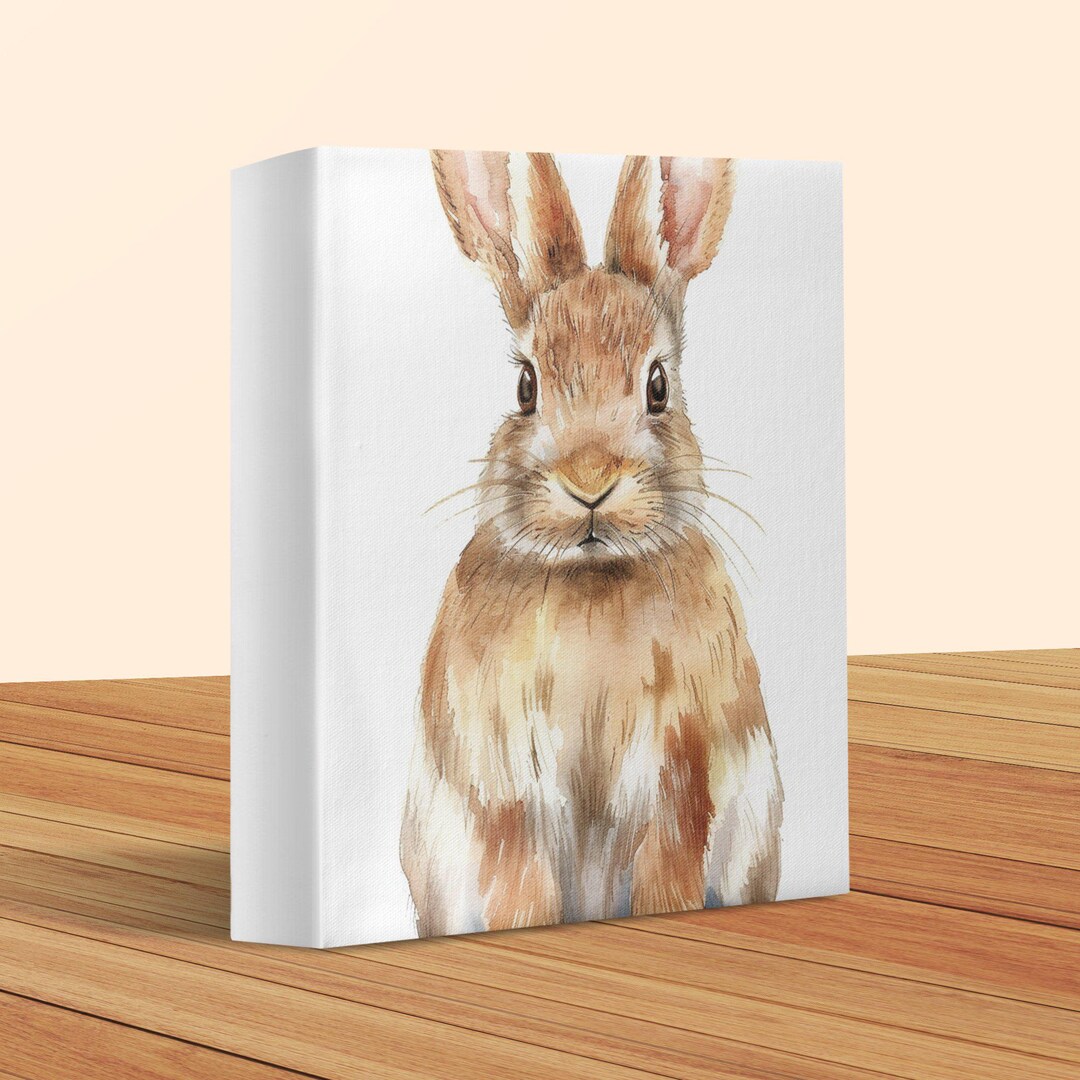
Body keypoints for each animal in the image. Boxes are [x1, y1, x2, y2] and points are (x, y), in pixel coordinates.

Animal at [400, 151, 782, 938]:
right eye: (525, 387)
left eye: (658, 385)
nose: (590, 481)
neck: (592, 579)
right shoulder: (511, 799)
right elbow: (522, 895)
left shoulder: (676, 790)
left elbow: (668, 883)